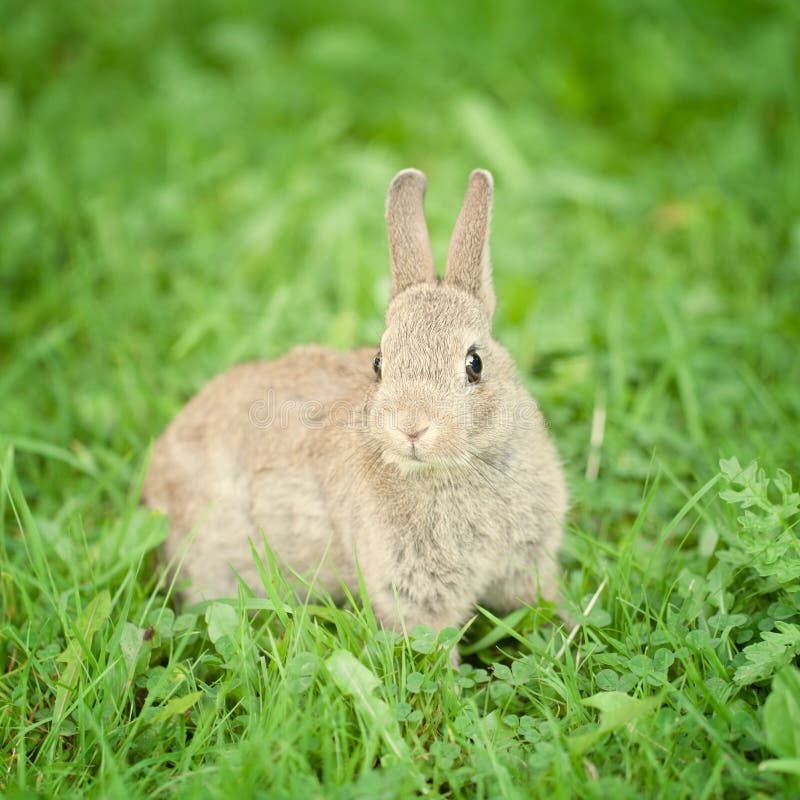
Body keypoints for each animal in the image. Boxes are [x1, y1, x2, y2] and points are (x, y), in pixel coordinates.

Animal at [143, 168, 568, 653]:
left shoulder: (528, 563)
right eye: (379, 363)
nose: (411, 428)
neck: (454, 468)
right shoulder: (412, 588)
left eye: (474, 364)